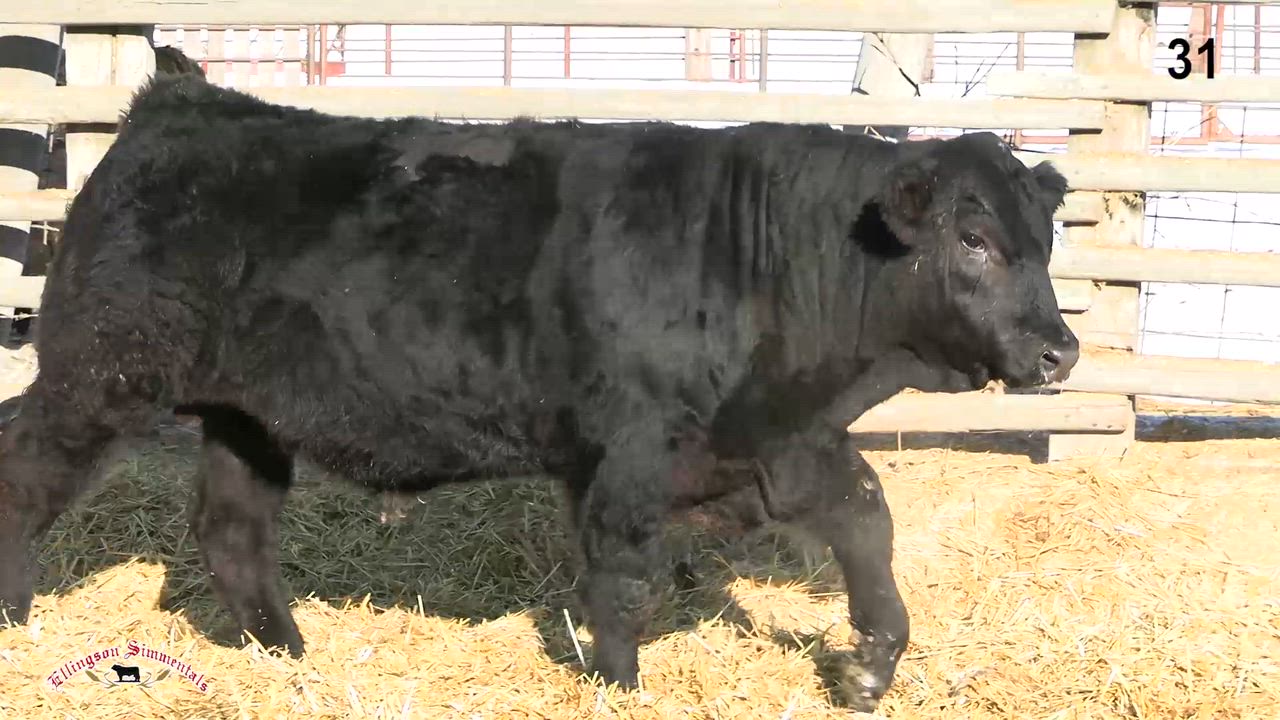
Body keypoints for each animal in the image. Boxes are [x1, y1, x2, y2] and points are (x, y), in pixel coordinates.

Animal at [0, 73, 1078, 712]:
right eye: (973, 239)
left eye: (1042, 238)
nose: (1057, 351)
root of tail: (180, 97)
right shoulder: (632, 455)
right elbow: (623, 578)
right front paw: (621, 685)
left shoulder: (777, 436)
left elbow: (866, 519)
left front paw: (867, 665)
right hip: (99, 375)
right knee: (23, 474)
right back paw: (15, 617)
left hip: (246, 417)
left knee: (232, 531)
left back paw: (289, 654)